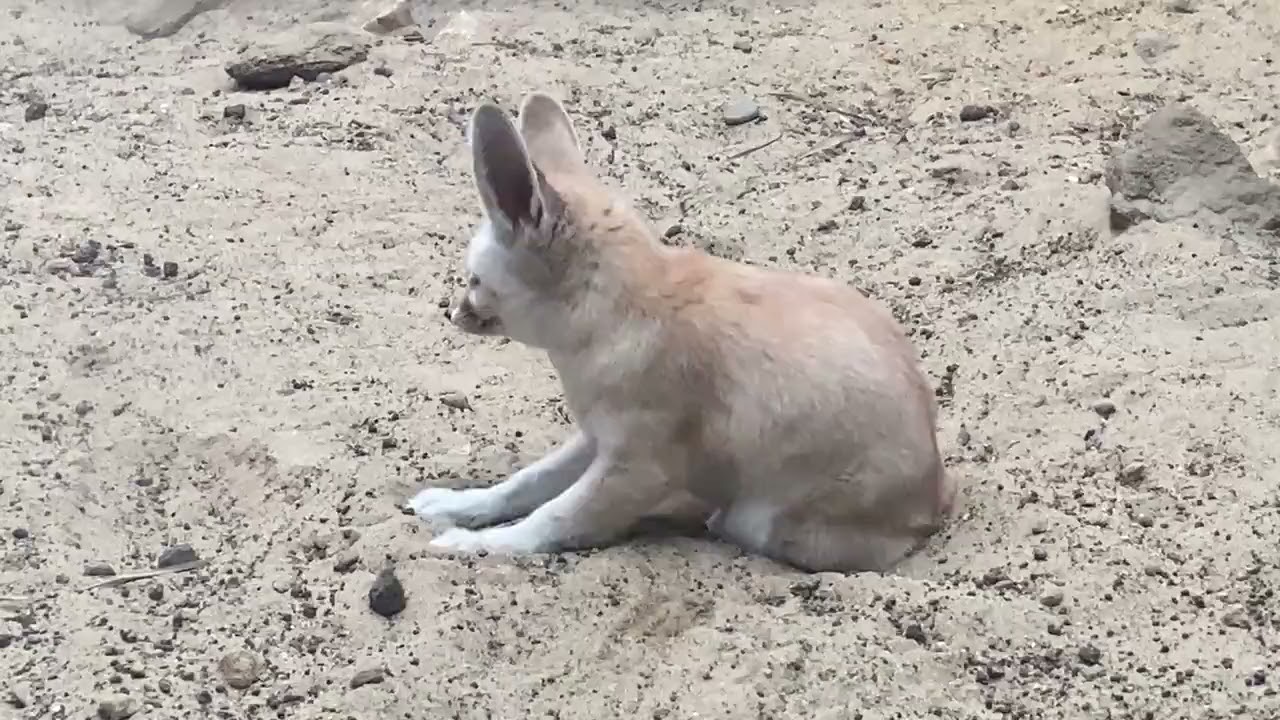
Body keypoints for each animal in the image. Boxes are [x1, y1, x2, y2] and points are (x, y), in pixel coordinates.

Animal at [407, 91, 957, 572]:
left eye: (475, 281)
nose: (452, 312)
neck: (627, 303)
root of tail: (935, 500)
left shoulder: (638, 464)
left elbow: (554, 516)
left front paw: (478, 543)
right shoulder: (595, 436)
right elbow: (527, 481)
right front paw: (460, 505)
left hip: (765, 517)